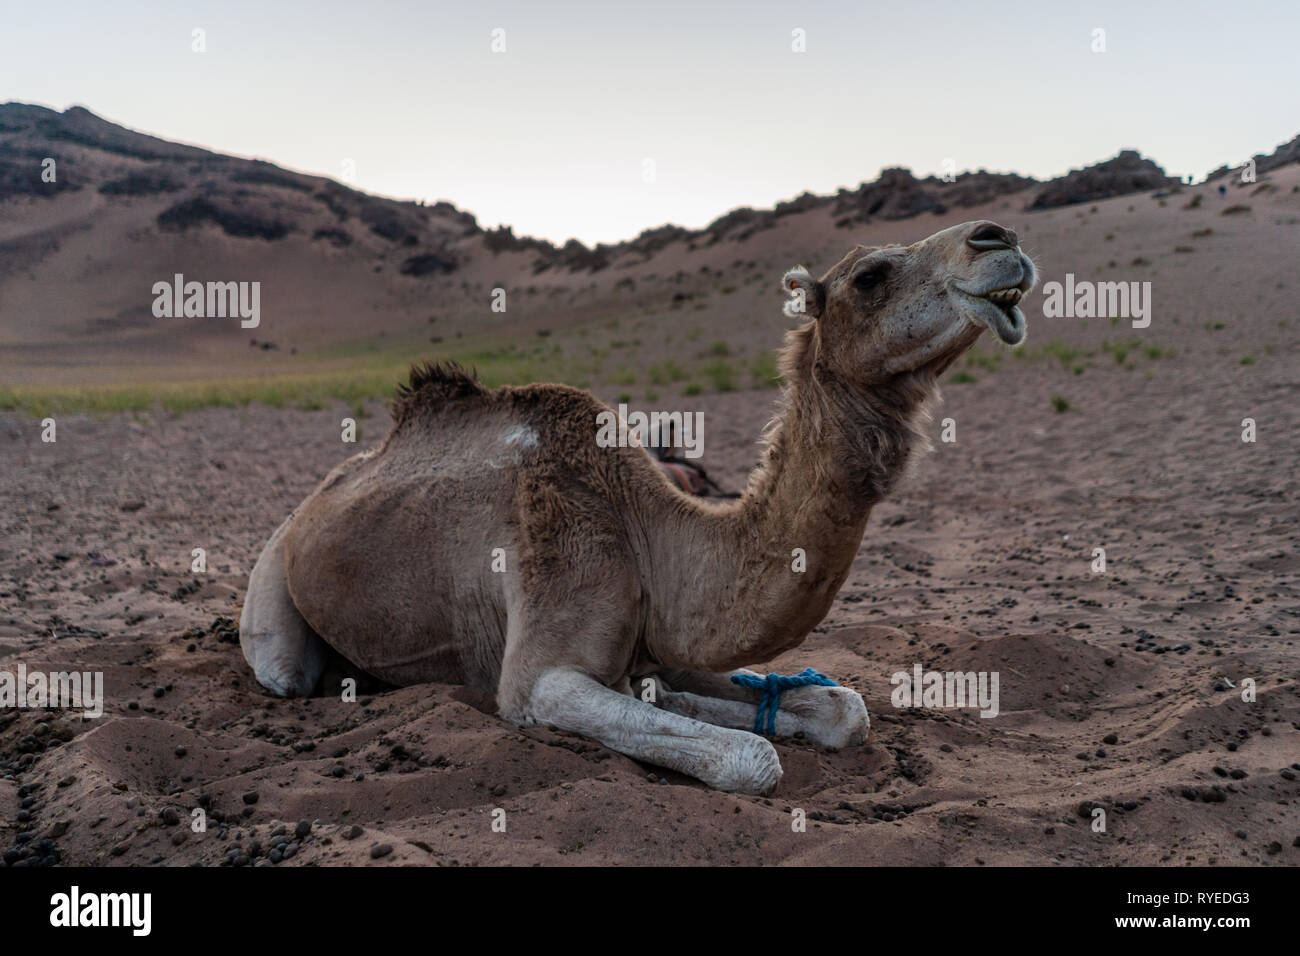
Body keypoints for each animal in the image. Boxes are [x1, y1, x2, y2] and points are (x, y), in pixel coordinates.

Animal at [239, 219, 1035, 794]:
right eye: (871, 276)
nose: (1000, 239)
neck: (648, 529)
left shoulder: (660, 642)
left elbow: (845, 708)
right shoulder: (539, 673)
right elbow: (750, 758)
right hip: (274, 588)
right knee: (285, 671)